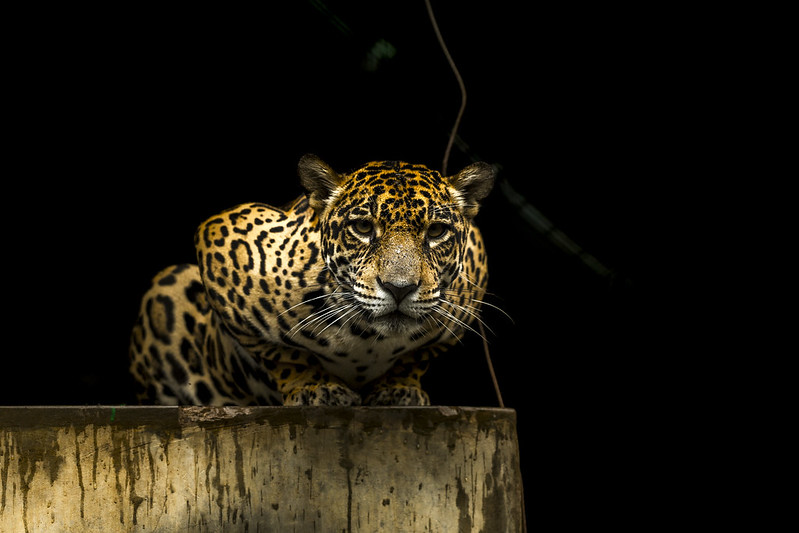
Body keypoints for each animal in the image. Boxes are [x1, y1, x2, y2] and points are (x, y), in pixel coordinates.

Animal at [129, 154, 495, 406]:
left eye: (436, 232)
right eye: (363, 227)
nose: (399, 289)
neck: (368, 340)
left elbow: (416, 358)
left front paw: (400, 389)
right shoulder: (221, 237)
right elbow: (280, 354)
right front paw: (313, 386)